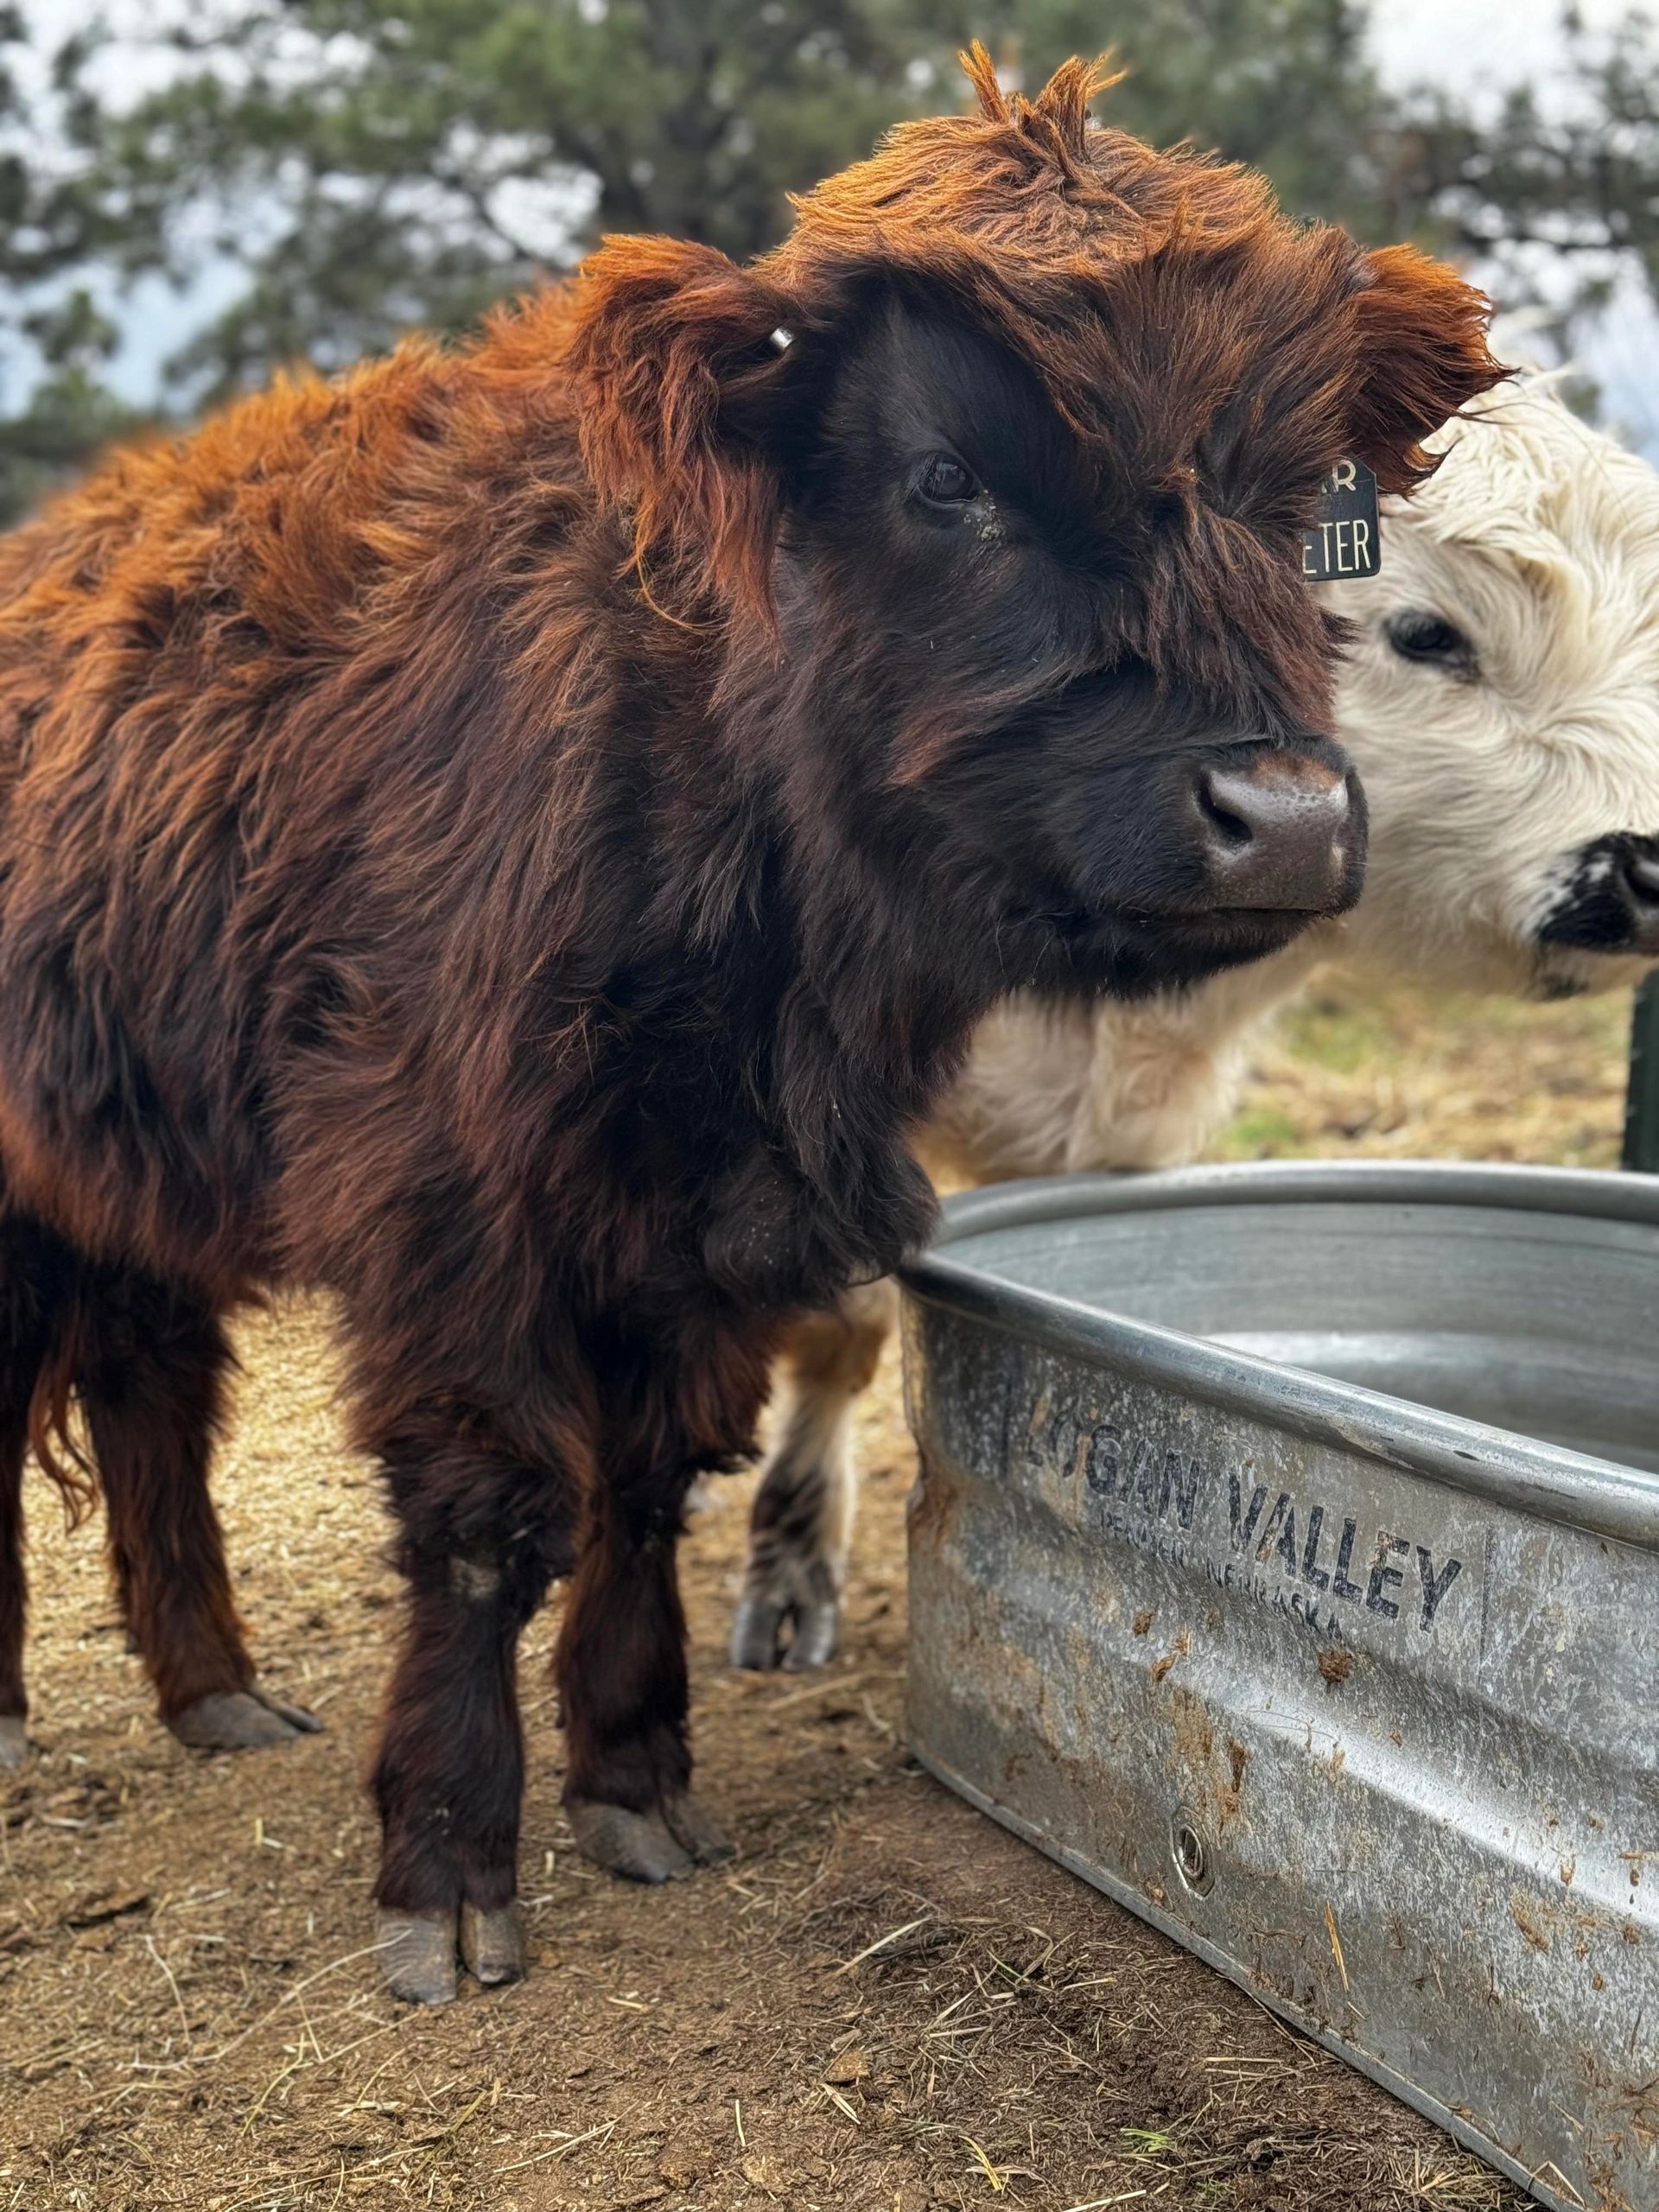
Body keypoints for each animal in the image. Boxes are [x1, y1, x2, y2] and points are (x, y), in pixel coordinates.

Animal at [0, 51, 1496, 2003]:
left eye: (1290, 492)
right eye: (943, 474)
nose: (1288, 816)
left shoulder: (713, 1213)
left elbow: (647, 1485)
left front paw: (637, 1779)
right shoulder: (446, 1197)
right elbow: (486, 1523)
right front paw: (450, 1867)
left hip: (125, 1166)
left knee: (152, 1384)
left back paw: (220, 1694)